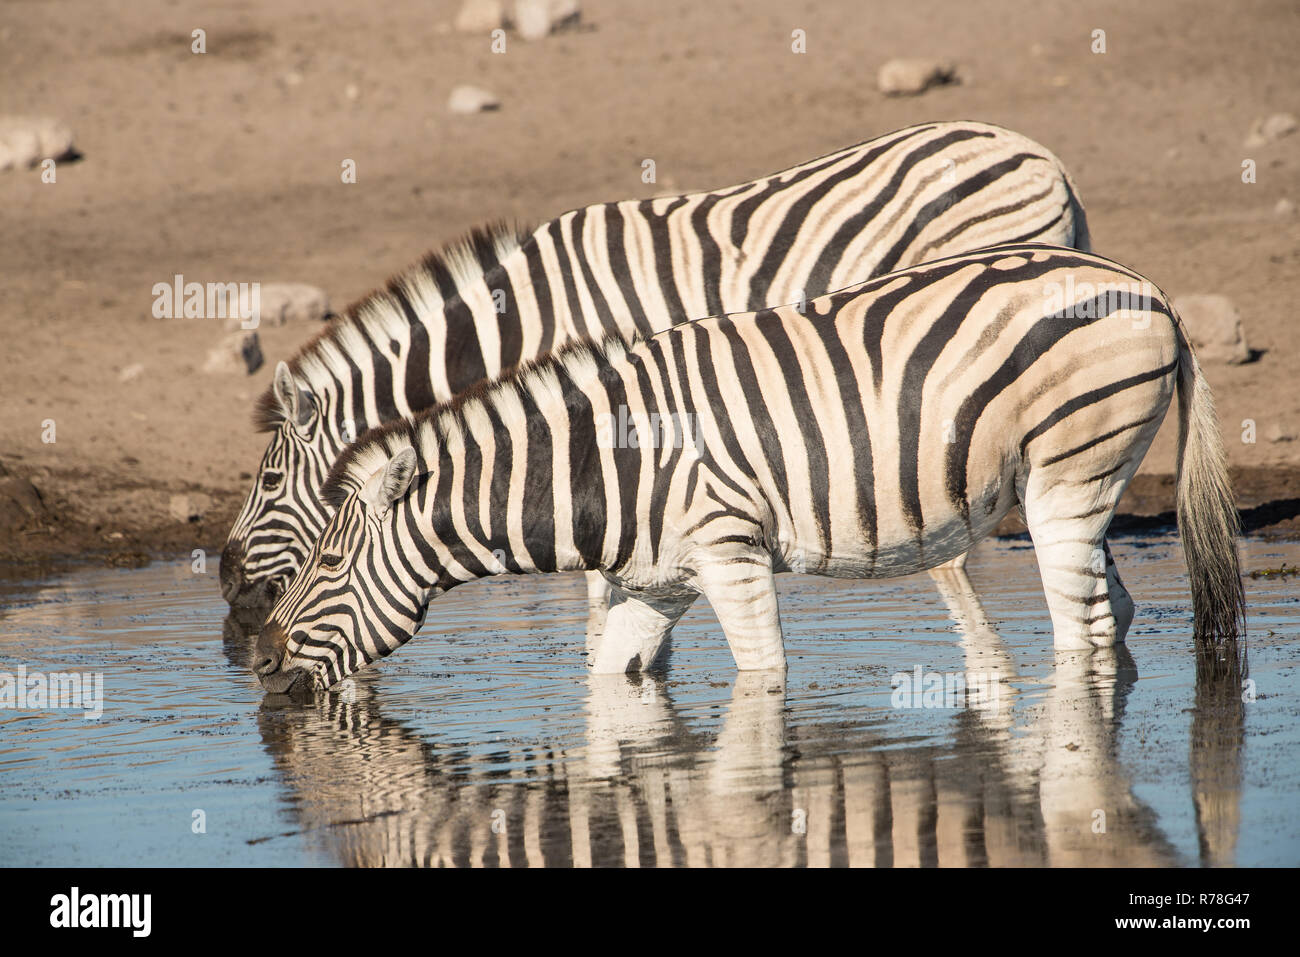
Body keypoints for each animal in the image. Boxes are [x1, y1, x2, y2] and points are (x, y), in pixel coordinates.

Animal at [251, 243, 1245, 696]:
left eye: (330, 563)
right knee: (1113, 614)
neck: (605, 464)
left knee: (1083, 635)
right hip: (1076, 488)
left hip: (1068, 480)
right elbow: (614, 686)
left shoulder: (730, 559)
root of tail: (1144, 285)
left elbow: (762, 686)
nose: (259, 661)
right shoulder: (656, 585)